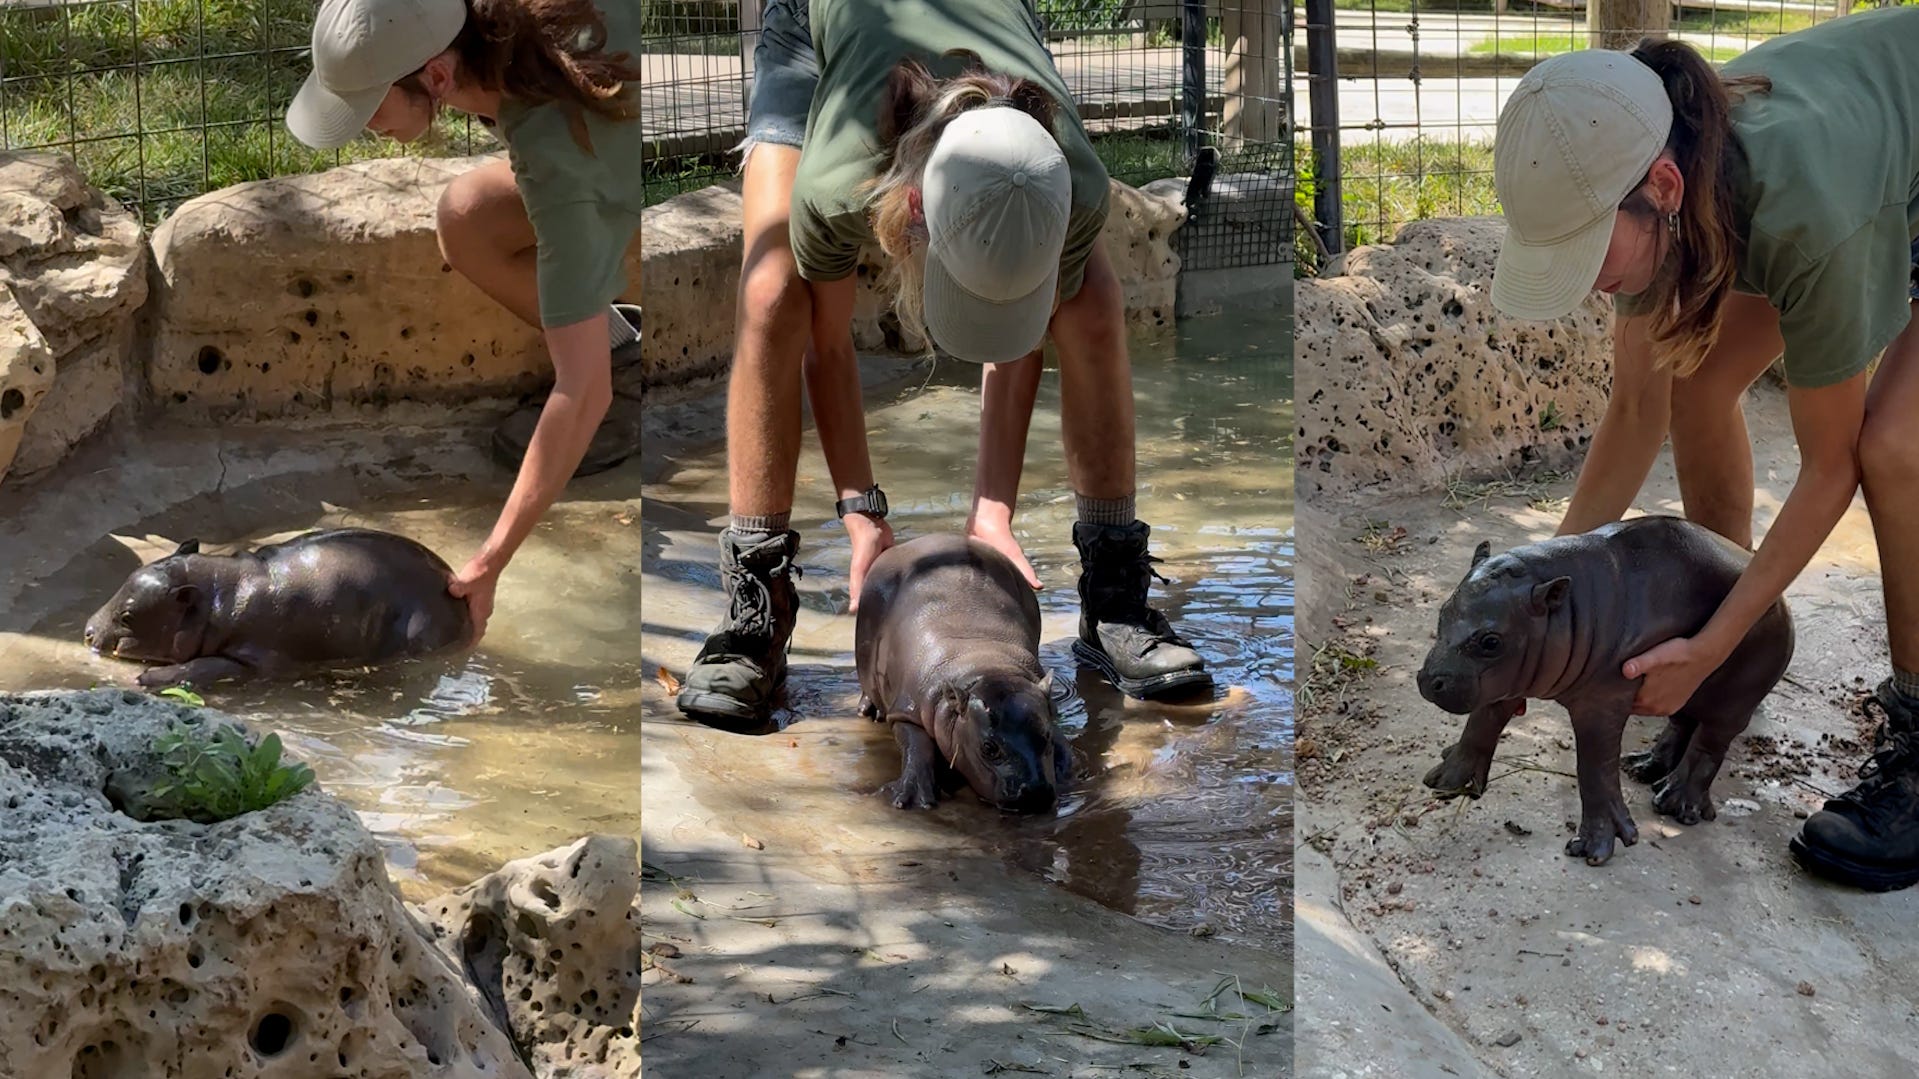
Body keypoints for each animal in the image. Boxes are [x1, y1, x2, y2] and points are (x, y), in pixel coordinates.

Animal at [85, 528, 475, 688]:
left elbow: (203, 667)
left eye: (127, 616)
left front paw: (146, 678)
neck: (216, 595)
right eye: (122, 582)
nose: (88, 631)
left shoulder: (255, 658)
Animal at [854, 534, 1069, 813]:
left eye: (1046, 737)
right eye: (989, 748)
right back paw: (867, 711)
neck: (985, 666)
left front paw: (1067, 765)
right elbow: (916, 746)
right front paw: (911, 799)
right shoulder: (906, 710)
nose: (1035, 793)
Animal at [1416, 515, 1795, 866]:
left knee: (1708, 746)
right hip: (1688, 685)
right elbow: (1481, 724)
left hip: (1732, 700)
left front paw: (1593, 850)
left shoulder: (1601, 700)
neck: (1567, 609)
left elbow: (1594, 767)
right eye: (1443, 611)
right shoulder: (1508, 678)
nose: (1428, 679)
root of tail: (1783, 606)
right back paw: (1642, 768)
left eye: (1491, 641)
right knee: (1681, 721)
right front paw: (1446, 782)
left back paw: (1676, 806)